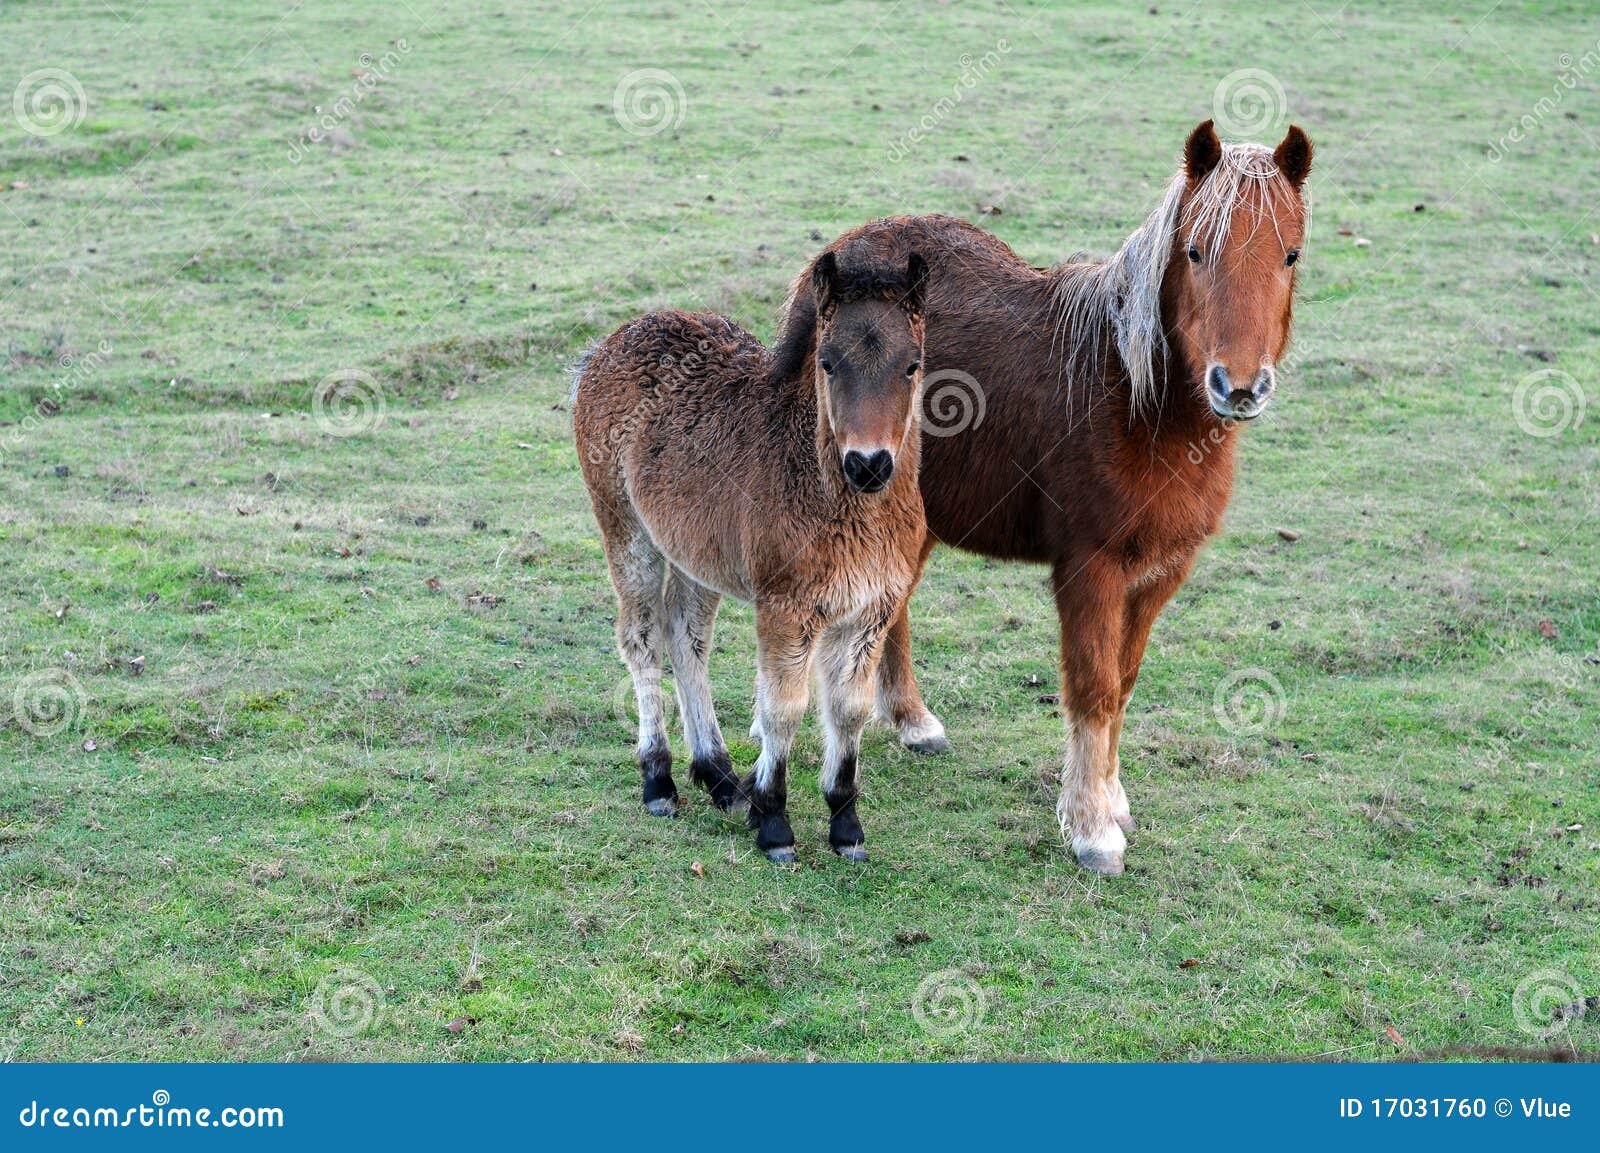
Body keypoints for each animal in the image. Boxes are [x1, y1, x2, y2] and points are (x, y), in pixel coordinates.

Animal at [572, 250, 930, 862]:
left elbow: (849, 708)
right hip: (625, 528)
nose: (868, 464)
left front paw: (845, 824)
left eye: (911, 365)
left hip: (696, 552)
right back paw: (659, 779)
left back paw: (716, 774)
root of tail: (609, 343)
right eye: (828, 364)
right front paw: (775, 821)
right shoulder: (785, 608)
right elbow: (783, 708)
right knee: (642, 637)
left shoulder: (871, 610)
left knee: (685, 635)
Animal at [780, 119, 1313, 875]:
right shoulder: (1090, 570)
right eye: (1195, 251)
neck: (1132, 401)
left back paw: (913, 721)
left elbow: (1123, 683)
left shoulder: (1160, 573)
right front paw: (1091, 829)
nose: (1237, 387)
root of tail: (833, 261)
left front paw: (1111, 800)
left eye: (1290, 254)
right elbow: (1092, 690)